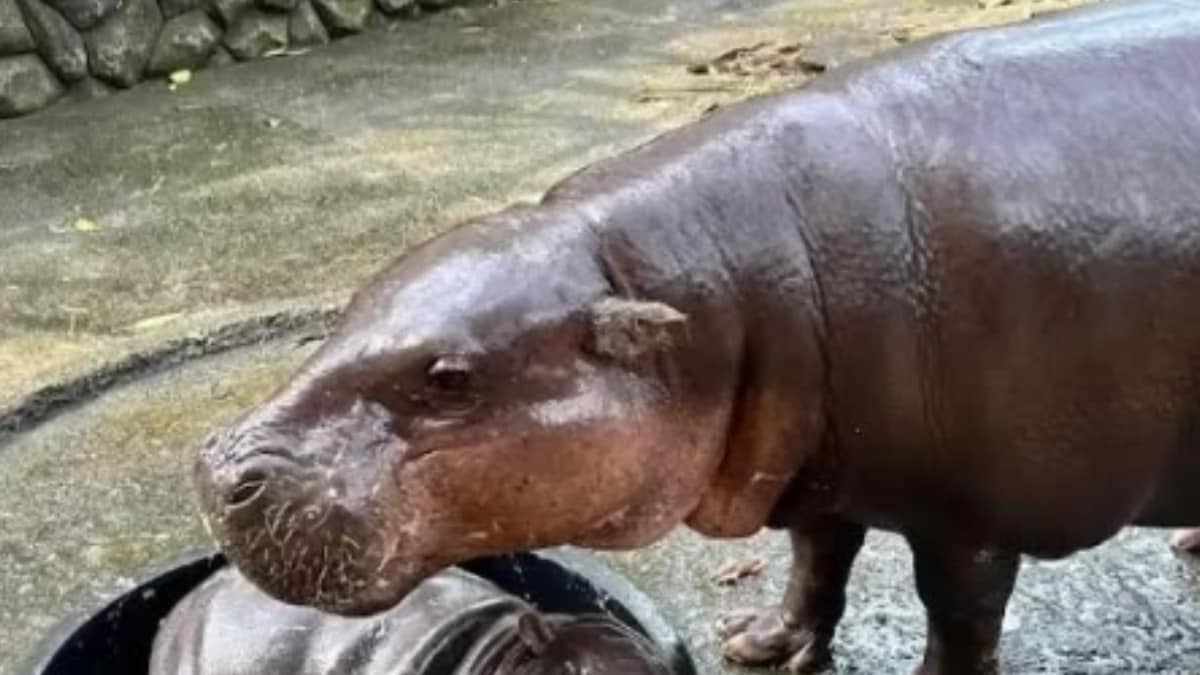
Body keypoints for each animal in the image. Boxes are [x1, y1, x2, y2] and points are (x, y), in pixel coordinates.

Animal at [194, 1, 1200, 673]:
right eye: (359, 296)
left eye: (449, 377)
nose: (216, 468)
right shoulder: (820, 463)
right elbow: (818, 561)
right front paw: (759, 641)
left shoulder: (970, 522)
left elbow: (956, 622)